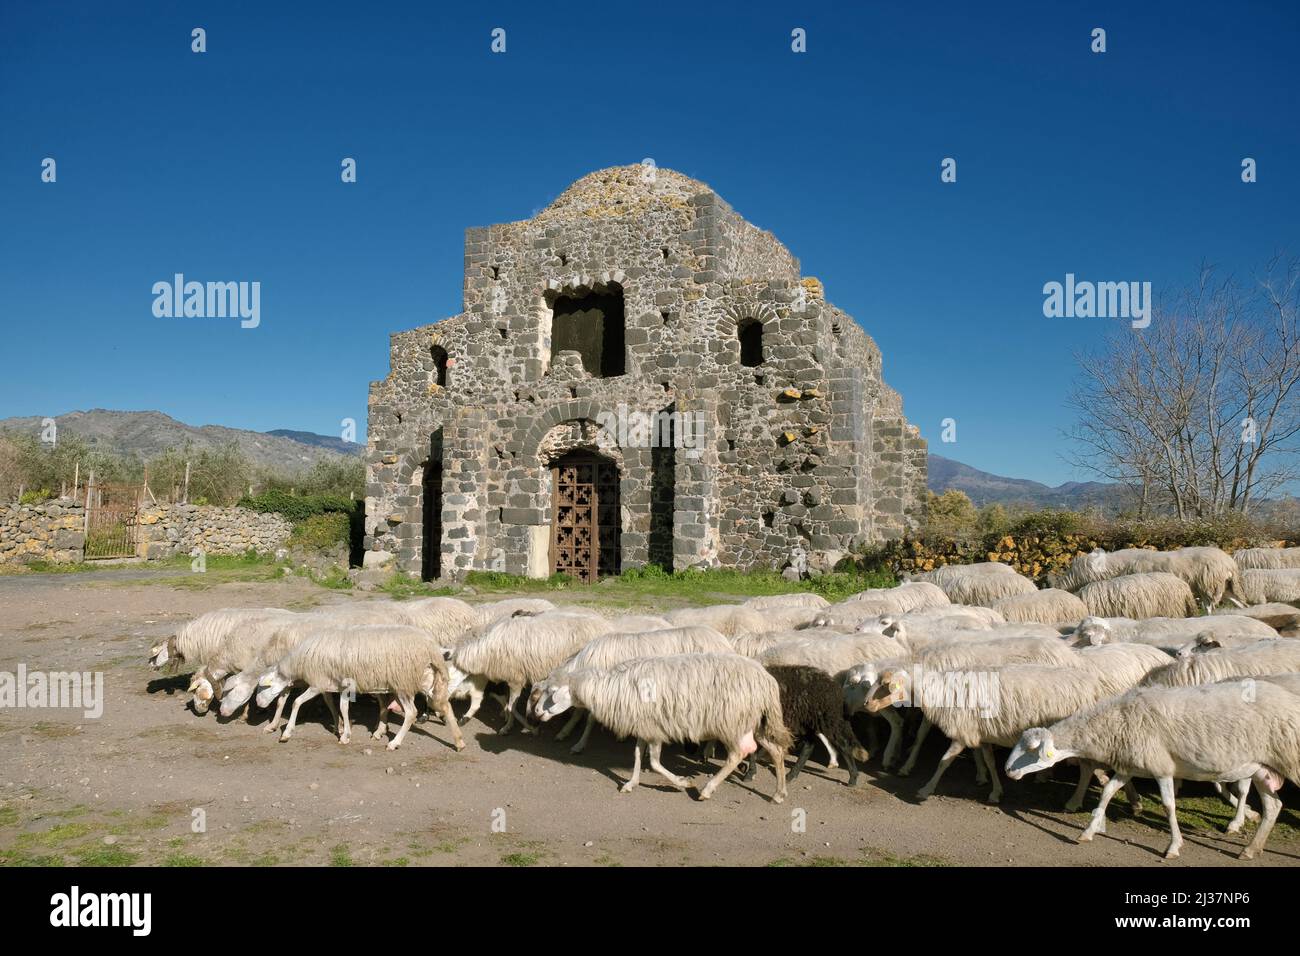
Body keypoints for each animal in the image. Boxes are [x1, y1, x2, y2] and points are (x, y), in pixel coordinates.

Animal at [255, 623, 463, 751]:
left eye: (264, 687)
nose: (258, 704)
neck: (300, 661)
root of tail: (431, 646)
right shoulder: (340, 684)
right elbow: (342, 707)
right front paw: (344, 733)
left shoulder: (317, 683)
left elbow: (296, 702)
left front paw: (286, 733)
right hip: (423, 678)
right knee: (445, 705)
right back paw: (459, 742)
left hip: (403, 682)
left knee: (411, 713)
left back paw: (394, 743)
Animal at [531, 624, 734, 754]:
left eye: (552, 692)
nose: (536, 712)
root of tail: (724, 642)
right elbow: (578, 713)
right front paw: (564, 732)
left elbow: (589, 718)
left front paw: (580, 744)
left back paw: (708, 750)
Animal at [532, 653, 793, 802]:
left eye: (552, 692)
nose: (537, 713)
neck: (610, 689)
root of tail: (767, 680)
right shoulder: (644, 726)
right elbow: (638, 754)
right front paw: (631, 783)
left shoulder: (655, 729)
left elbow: (655, 763)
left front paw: (683, 783)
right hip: (752, 721)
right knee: (776, 750)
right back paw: (779, 794)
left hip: (731, 721)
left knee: (737, 754)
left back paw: (706, 790)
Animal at [1006, 681, 1300, 859]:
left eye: (1031, 750)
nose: (1008, 771)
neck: (1113, 724)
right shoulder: (1130, 765)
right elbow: (1108, 792)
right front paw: (1088, 832)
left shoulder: (1162, 768)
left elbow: (1169, 806)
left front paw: (1173, 847)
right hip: (1263, 768)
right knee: (1273, 807)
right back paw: (1250, 849)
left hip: (1292, 760)